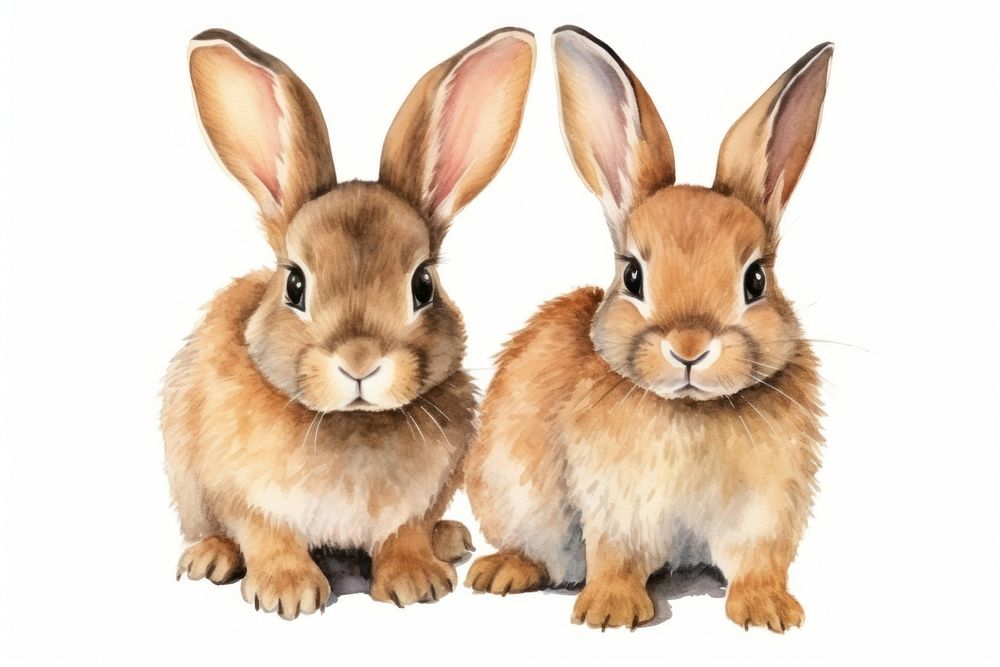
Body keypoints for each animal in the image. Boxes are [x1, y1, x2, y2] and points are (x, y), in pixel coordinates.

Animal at [163, 27, 535, 619]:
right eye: (295, 284)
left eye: (423, 285)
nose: (360, 362)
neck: (350, 422)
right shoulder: (243, 495)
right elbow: (267, 535)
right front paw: (287, 593)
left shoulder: (421, 500)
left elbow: (405, 534)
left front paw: (415, 583)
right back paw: (211, 558)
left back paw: (450, 539)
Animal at [464, 26, 831, 632]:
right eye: (633, 275)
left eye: (755, 280)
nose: (689, 348)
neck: (693, 410)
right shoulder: (616, 507)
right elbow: (615, 556)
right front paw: (610, 611)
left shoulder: (765, 510)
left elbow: (758, 562)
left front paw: (769, 611)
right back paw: (502, 571)